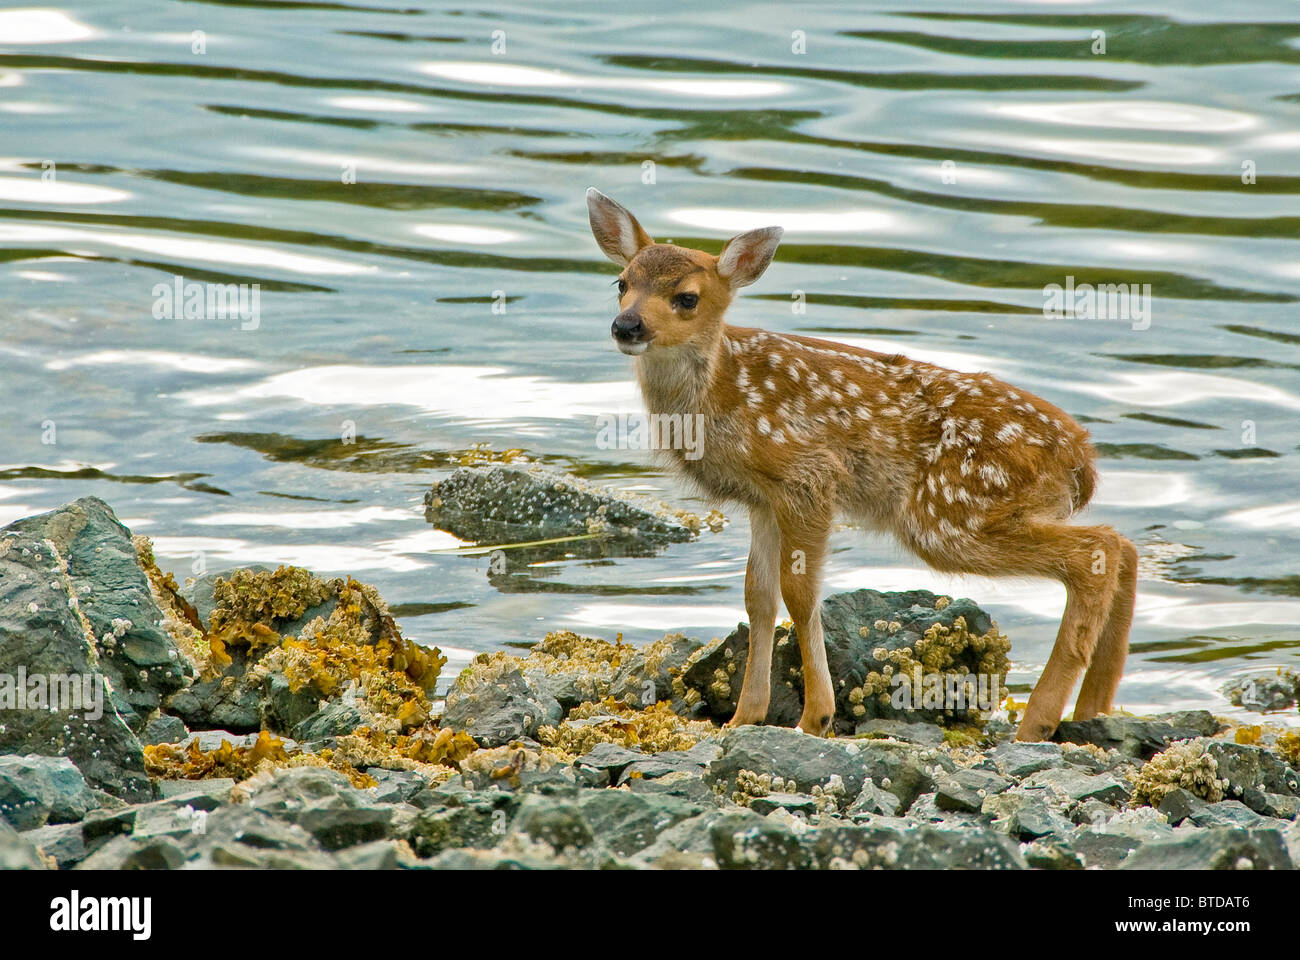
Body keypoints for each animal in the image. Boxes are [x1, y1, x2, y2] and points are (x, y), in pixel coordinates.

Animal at [585, 188, 1137, 742]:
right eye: (622, 283)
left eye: (687, 298)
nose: (626, 325)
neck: (721, 391)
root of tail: (1082, 461)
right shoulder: (763, 498)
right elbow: (758, 597)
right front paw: (745, 717)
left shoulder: (809, 476)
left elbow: (800, 593)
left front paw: (815, 717)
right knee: (1122, 544)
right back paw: (1092, 710)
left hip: (952, 513)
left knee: (1098, 550)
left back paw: (1037, 721)